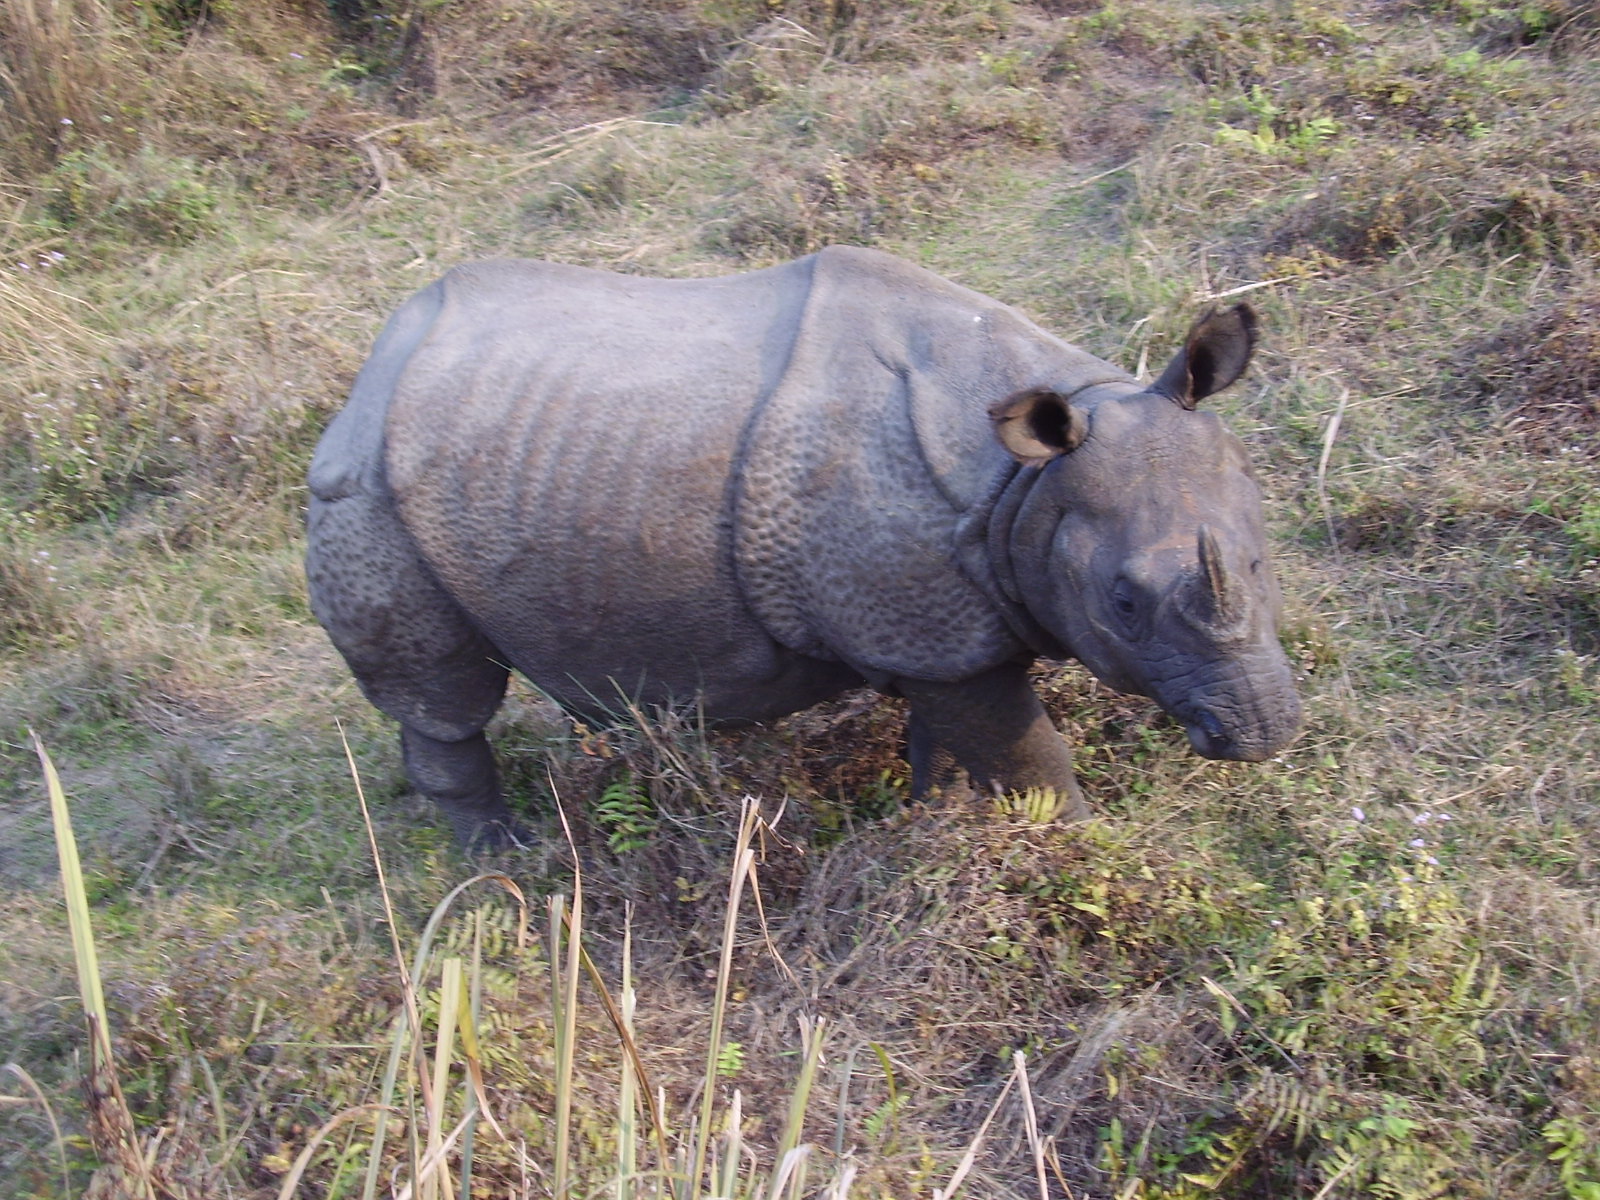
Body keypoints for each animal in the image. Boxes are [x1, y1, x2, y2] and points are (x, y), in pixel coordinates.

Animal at [306, 246, 1301, 847]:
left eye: (1261, 561)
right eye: (1123, 606)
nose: (1261, 731)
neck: (1023, 481)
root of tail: (368, 371)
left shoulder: (940, 636)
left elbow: (954, 748)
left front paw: (937, 834)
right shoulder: (933, 632)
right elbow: (1027, 758)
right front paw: (1079, 851)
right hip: (365, 496)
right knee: (444, 696)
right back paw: (507, 868)